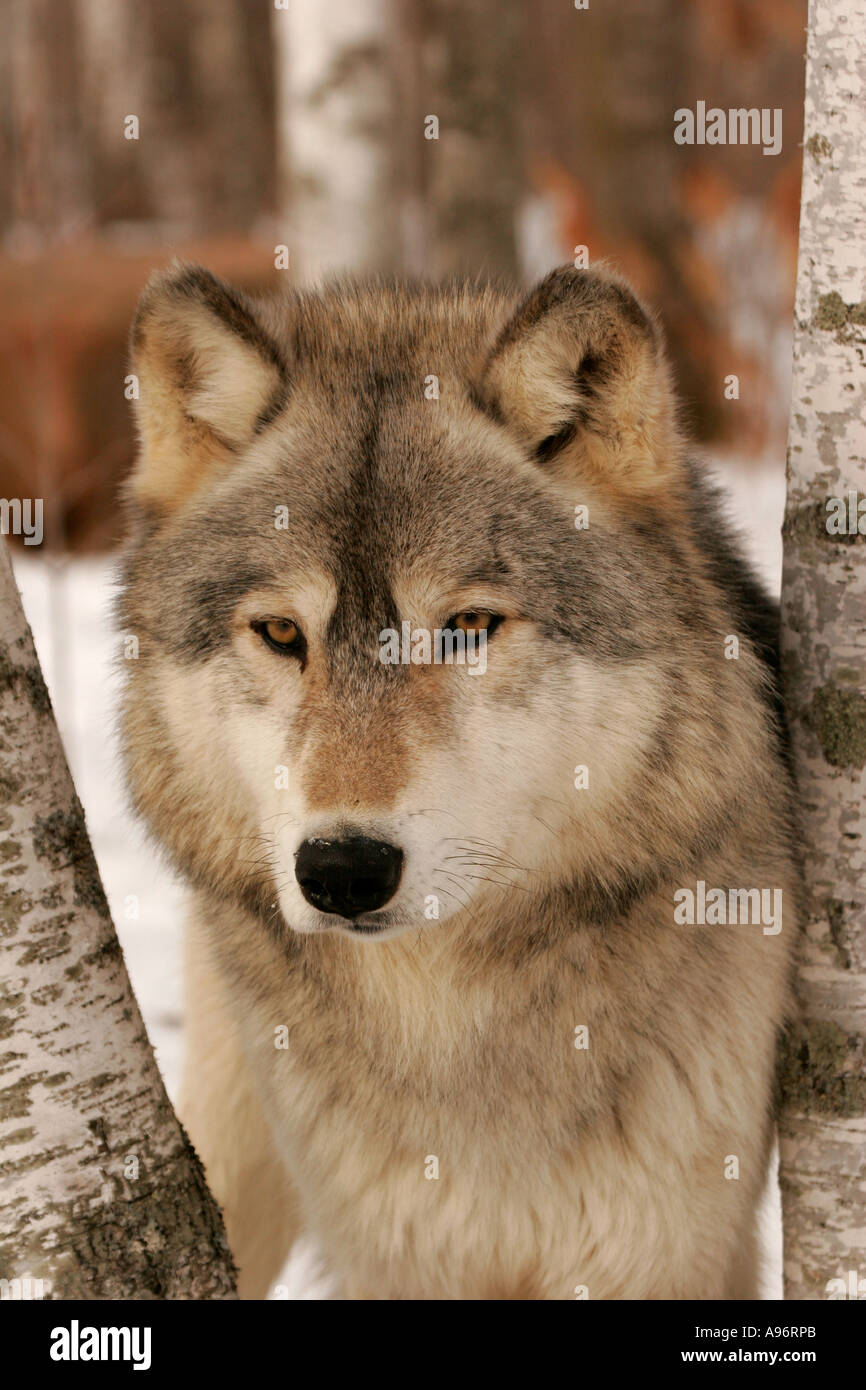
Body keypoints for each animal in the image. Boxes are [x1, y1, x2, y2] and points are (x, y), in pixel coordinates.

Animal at [118, 261, 799, 1300]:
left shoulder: (660, 1254)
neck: (445, 1025)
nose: (342, 870)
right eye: (280, 633)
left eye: (468, 626)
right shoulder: (393, 1255)